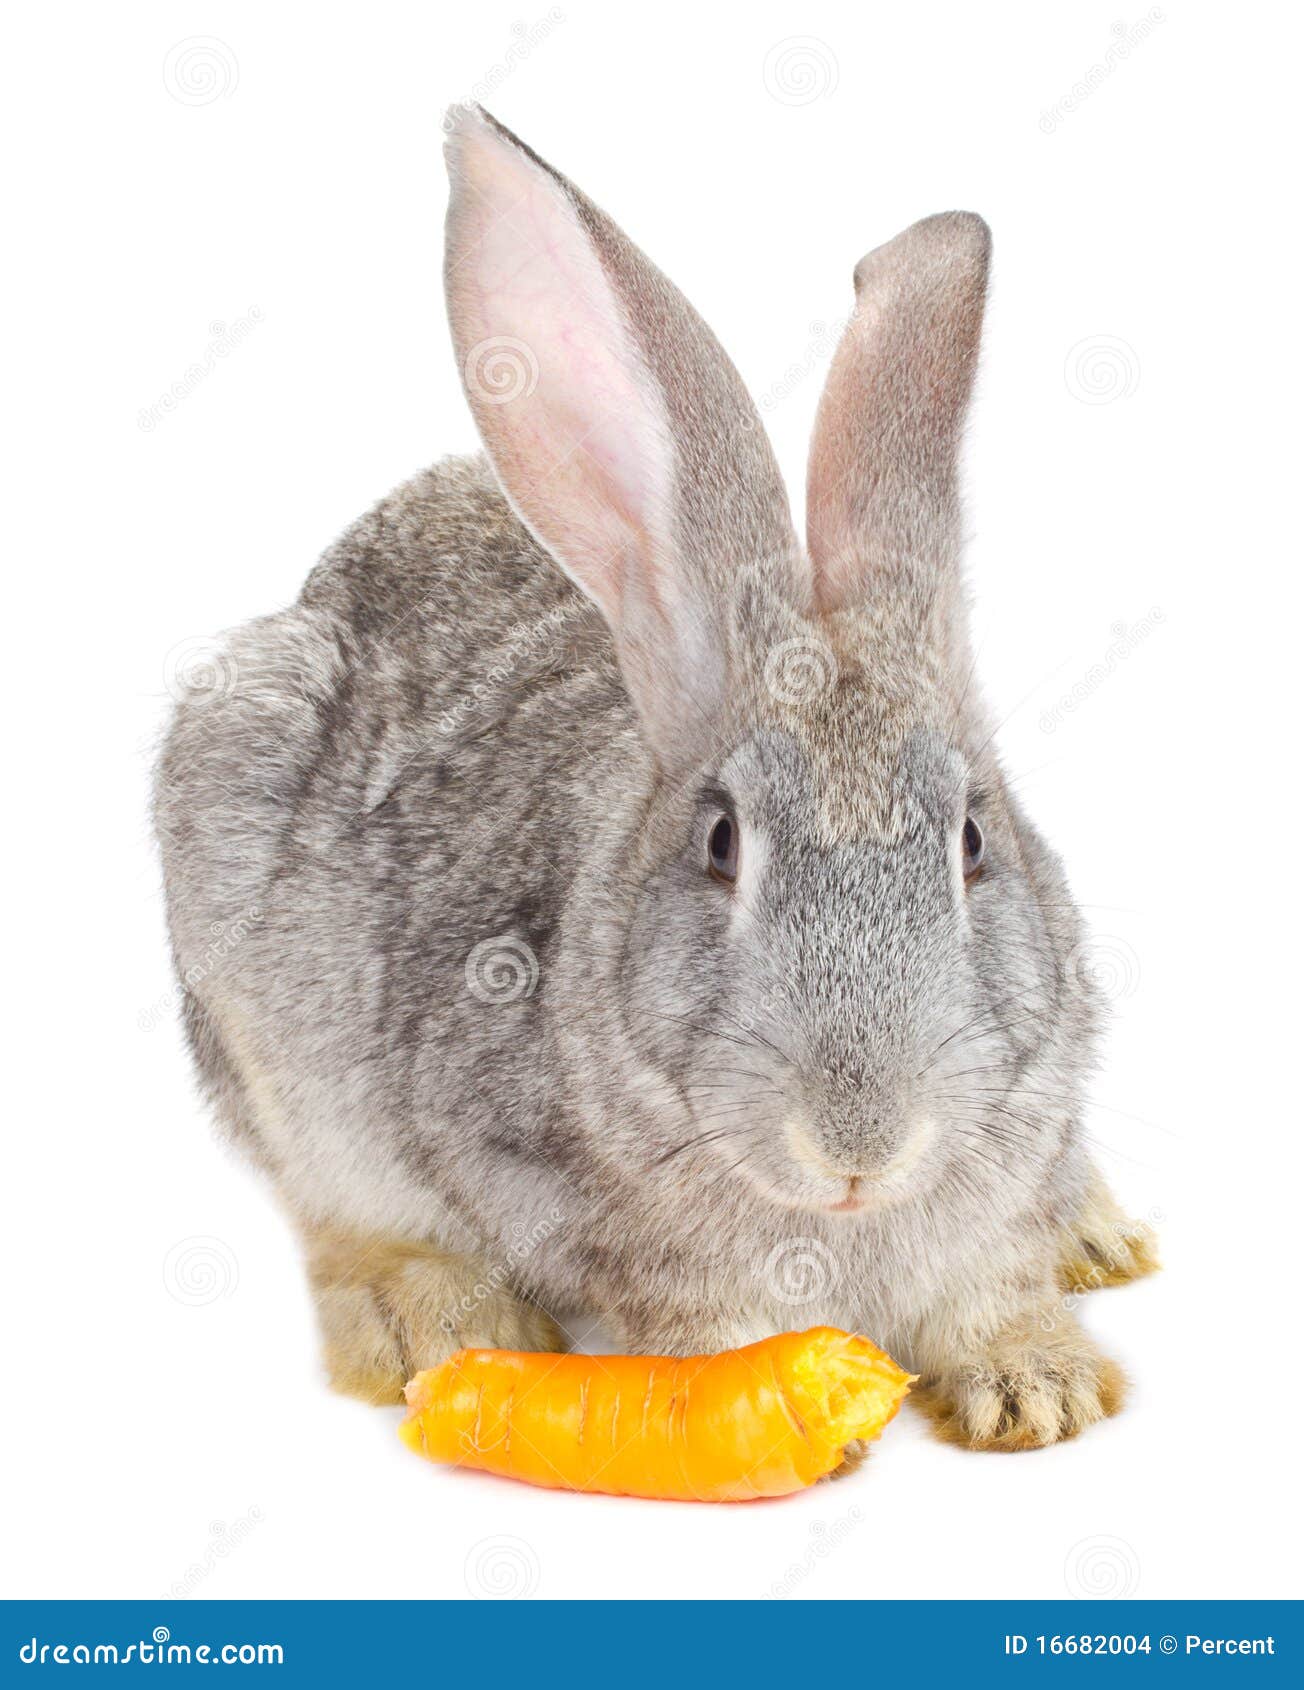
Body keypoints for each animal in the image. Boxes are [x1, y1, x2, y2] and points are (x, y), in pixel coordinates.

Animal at [154, 105, 1157, 1453]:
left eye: (971, 841)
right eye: (720, 841)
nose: (858, 1138)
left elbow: (991, 1284)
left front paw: (1038, 1388)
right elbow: (689, 1317)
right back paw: (426, 1322)